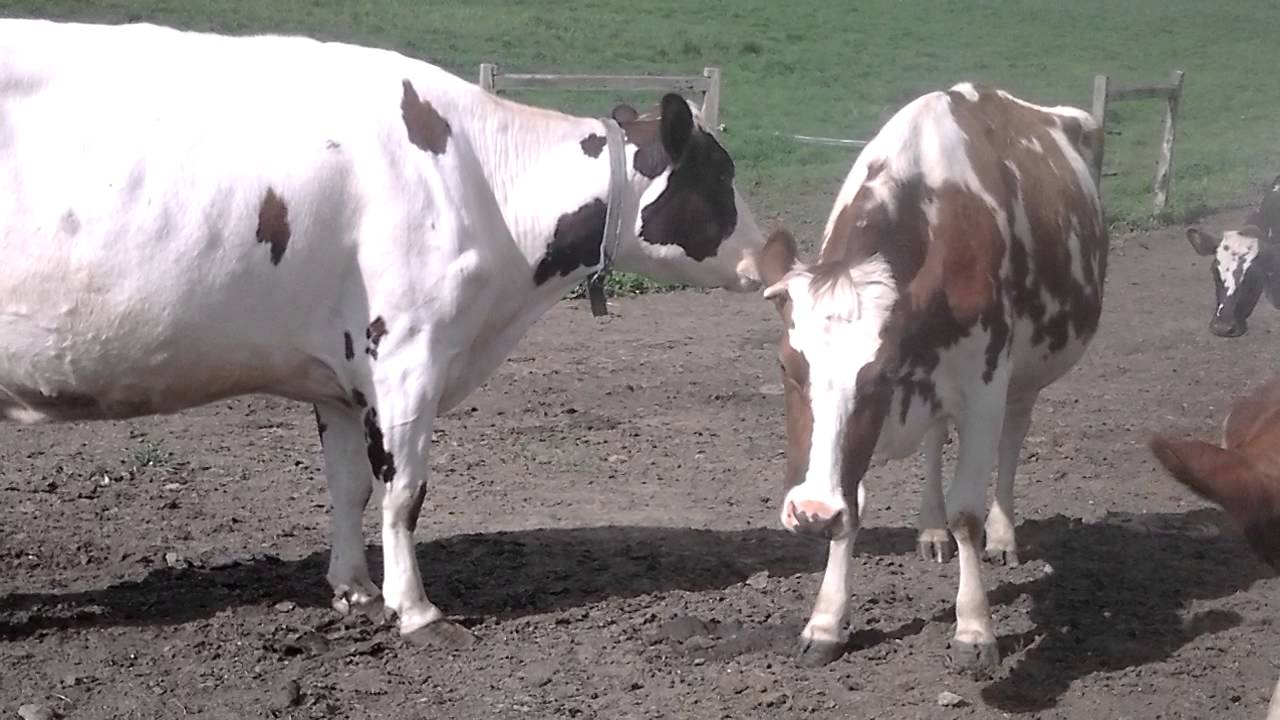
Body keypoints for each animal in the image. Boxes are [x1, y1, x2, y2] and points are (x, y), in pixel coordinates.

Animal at [0, 19, 765, 647]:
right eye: (720, 173)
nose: (776, 252)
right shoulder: (408, 354)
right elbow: (405, 492)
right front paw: (416, 610)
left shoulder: (339, 378)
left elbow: (349, 487)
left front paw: (356, 591)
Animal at [758, 83, 1108, 673]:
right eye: (787, 365)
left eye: (880, 373)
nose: (810, 513)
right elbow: (854, 504)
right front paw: (825, 621)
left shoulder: (983, 386)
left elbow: (968, 510)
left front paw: (974, 629)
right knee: (935, 439)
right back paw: (930, 527)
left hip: (1026, 375)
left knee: (1012, 440)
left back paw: (1003, 535)